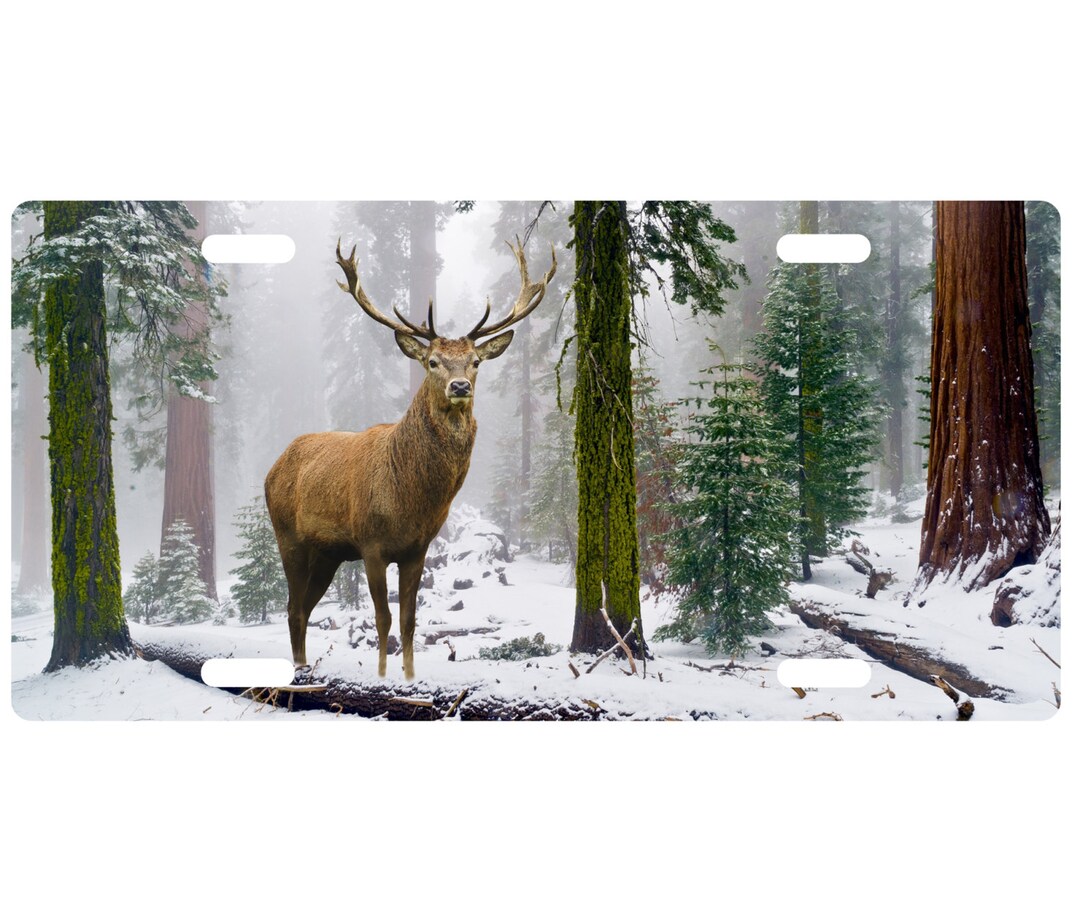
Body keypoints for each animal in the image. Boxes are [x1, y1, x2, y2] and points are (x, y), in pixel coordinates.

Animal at [264, 237, 556, 681]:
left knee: (304, 606)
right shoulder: (370, 543)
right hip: (289, 536)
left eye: (475, 362)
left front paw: (409, 675)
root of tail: (273, 466)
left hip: (328, 553)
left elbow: (409, 619)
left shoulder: (418, 549)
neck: (410, 498)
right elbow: (382, 618)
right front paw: (384, 675)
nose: (459, 387)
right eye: (432, 361)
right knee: (293, 607)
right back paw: (299, 667)